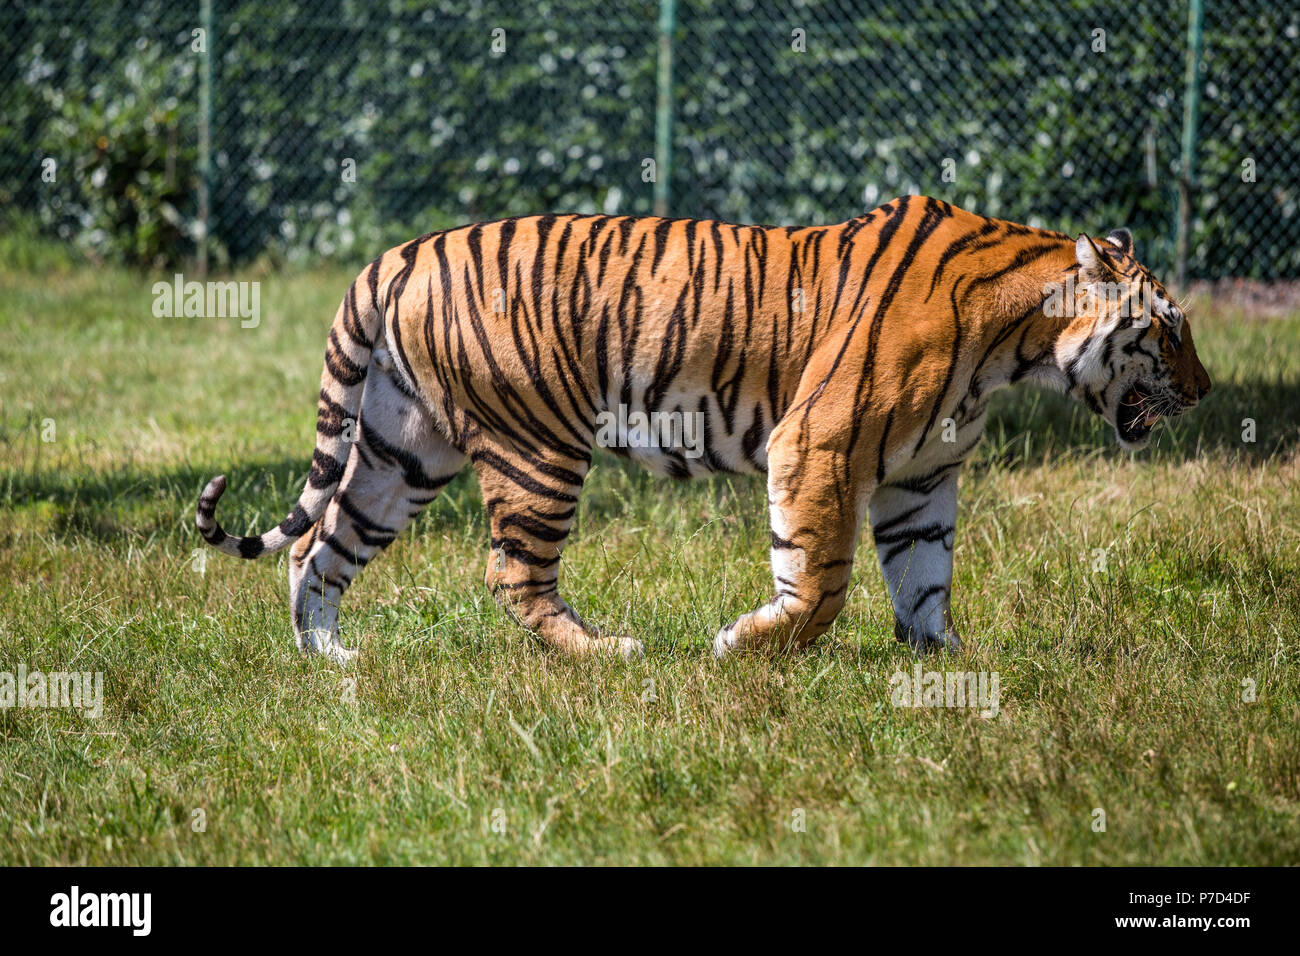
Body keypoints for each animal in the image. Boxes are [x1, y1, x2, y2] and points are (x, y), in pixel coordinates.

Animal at [195, 196, 1211, 663]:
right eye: (1167, 329)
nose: (1203, 392)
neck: (1021, 343)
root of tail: (399, 254)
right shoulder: (821, 446)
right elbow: (822, 580)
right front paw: (747, 644)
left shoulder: (922, 478)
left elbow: (926, 580)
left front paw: (948, 669)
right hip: (537, 446)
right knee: (511, 574)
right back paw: (607, 653)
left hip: (403, 449)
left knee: (319, 544)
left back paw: (330, 659)